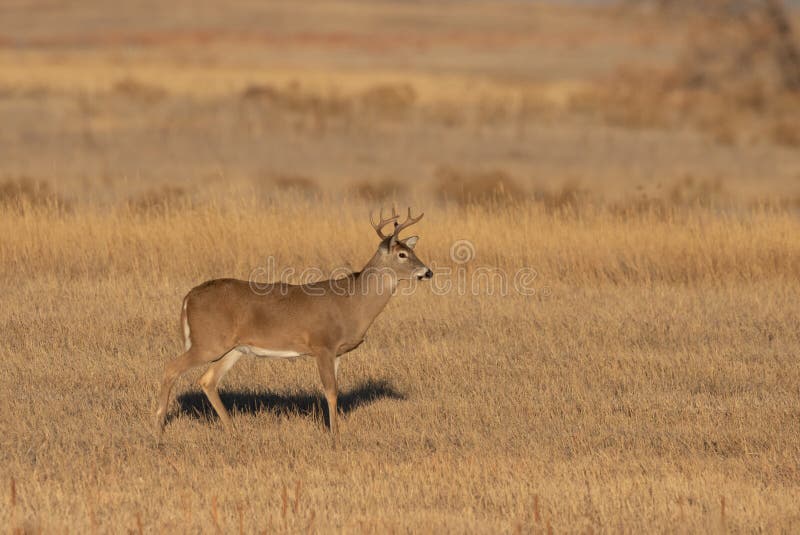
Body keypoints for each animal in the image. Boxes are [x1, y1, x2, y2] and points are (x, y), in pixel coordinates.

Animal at [155, 207, 432, 445]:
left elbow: (335, 391)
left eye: (412, 250)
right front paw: (335, 437)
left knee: (207, 380)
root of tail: (188, 297)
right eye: (402, 254)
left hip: (232, 348)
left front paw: (336, 431)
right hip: (208, 342)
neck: (352, 302)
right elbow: (330, 390)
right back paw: (159, 429)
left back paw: (234, 431)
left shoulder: (337, 352)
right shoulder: (322, 345)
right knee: (170, 368)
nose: (427, 272)